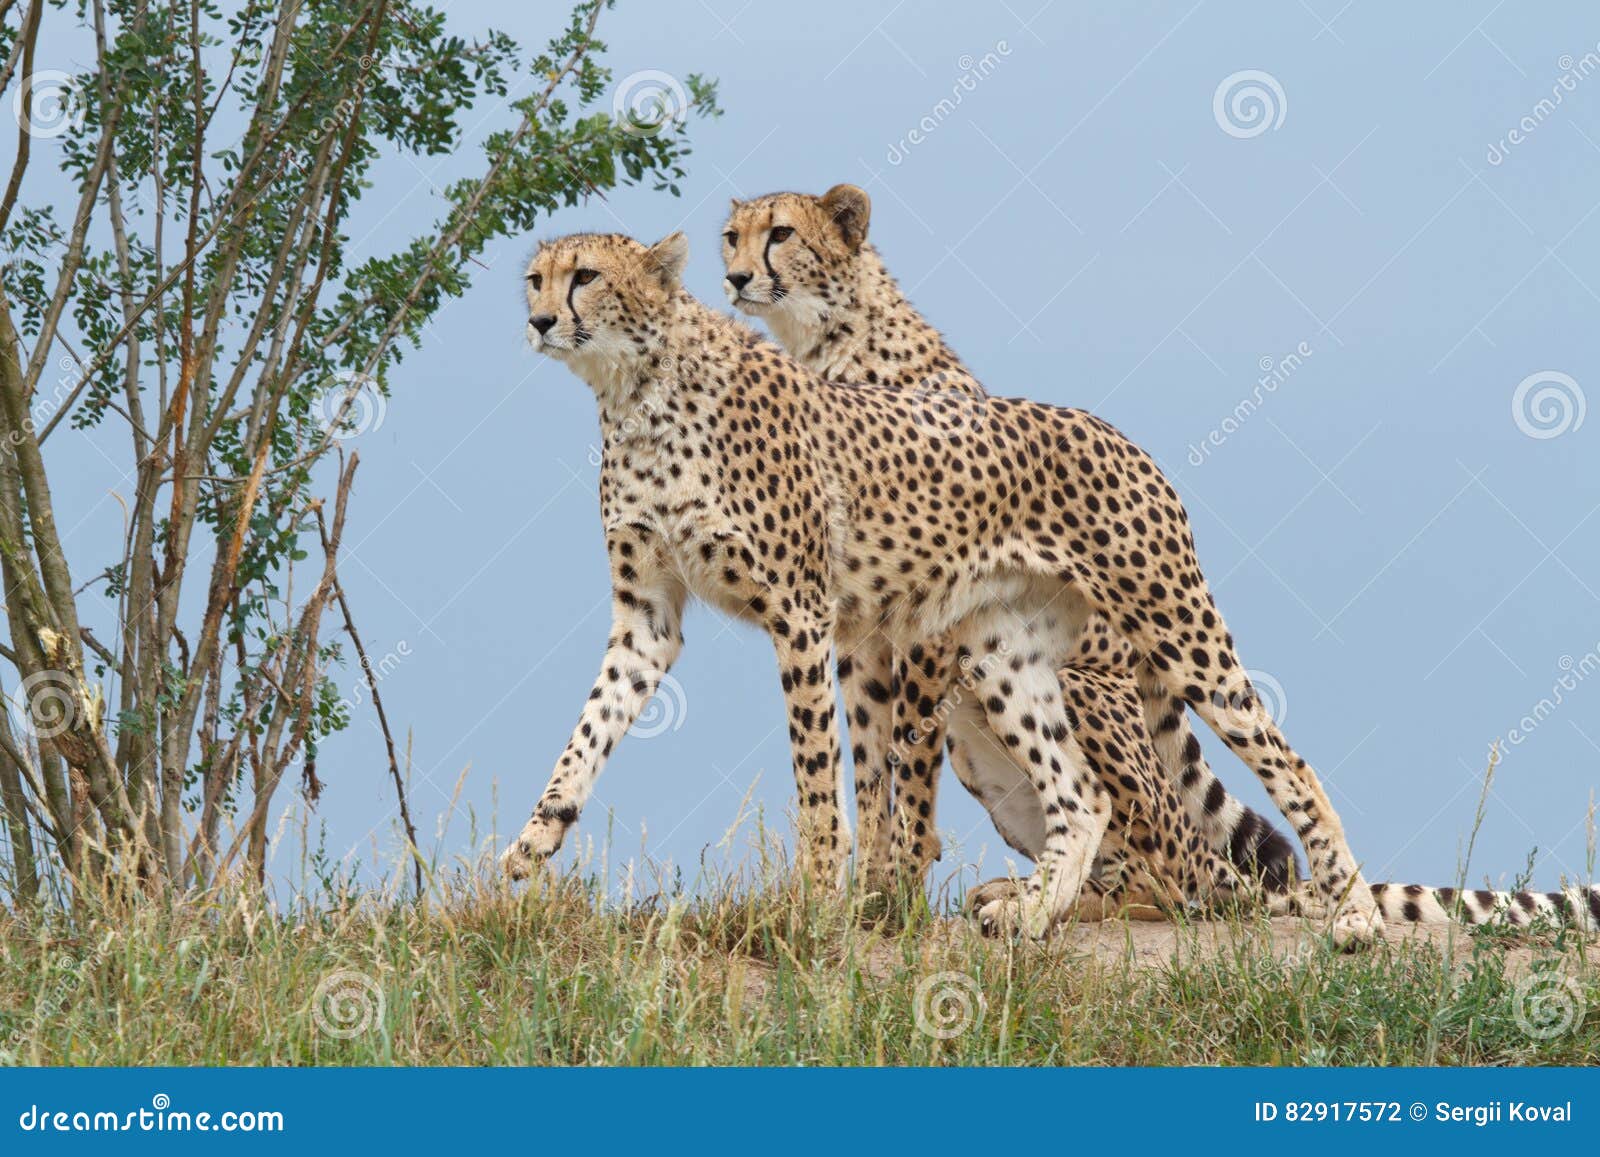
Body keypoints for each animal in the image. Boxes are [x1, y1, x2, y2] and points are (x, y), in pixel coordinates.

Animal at [502, 227, 1387, 947]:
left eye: (584, 276)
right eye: (536, 279)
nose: (538, 321)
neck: (635, 389)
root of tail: (1118, 433)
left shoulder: (800, 611)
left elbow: (819, 775)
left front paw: (812, 902)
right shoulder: (648, 619)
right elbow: (588, 732)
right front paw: (532, 841)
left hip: (1174, 625)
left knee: (1288, 765)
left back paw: (1357, 916)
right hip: (1003, 657)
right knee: (1082, 797)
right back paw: (1029, 913)